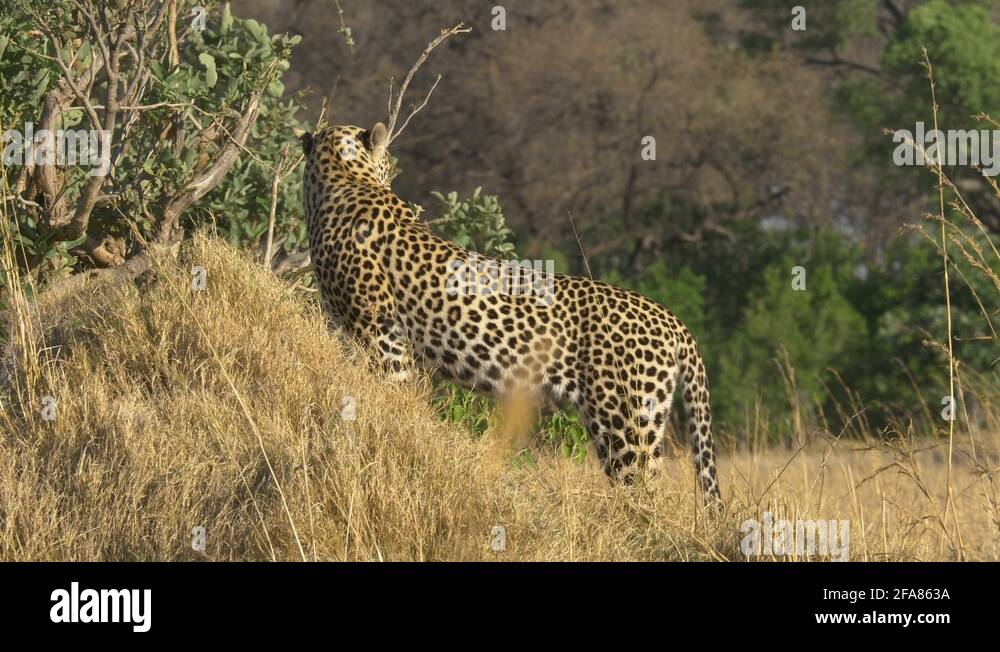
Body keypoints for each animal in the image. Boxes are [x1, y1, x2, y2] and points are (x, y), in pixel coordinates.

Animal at [296, 121, 721, 505]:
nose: (394, 167)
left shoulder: (383, 337)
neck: (344, 178)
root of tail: (671, 319)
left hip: (622, 420)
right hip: (648, 419)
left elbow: (392, 400)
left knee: (646, 494)